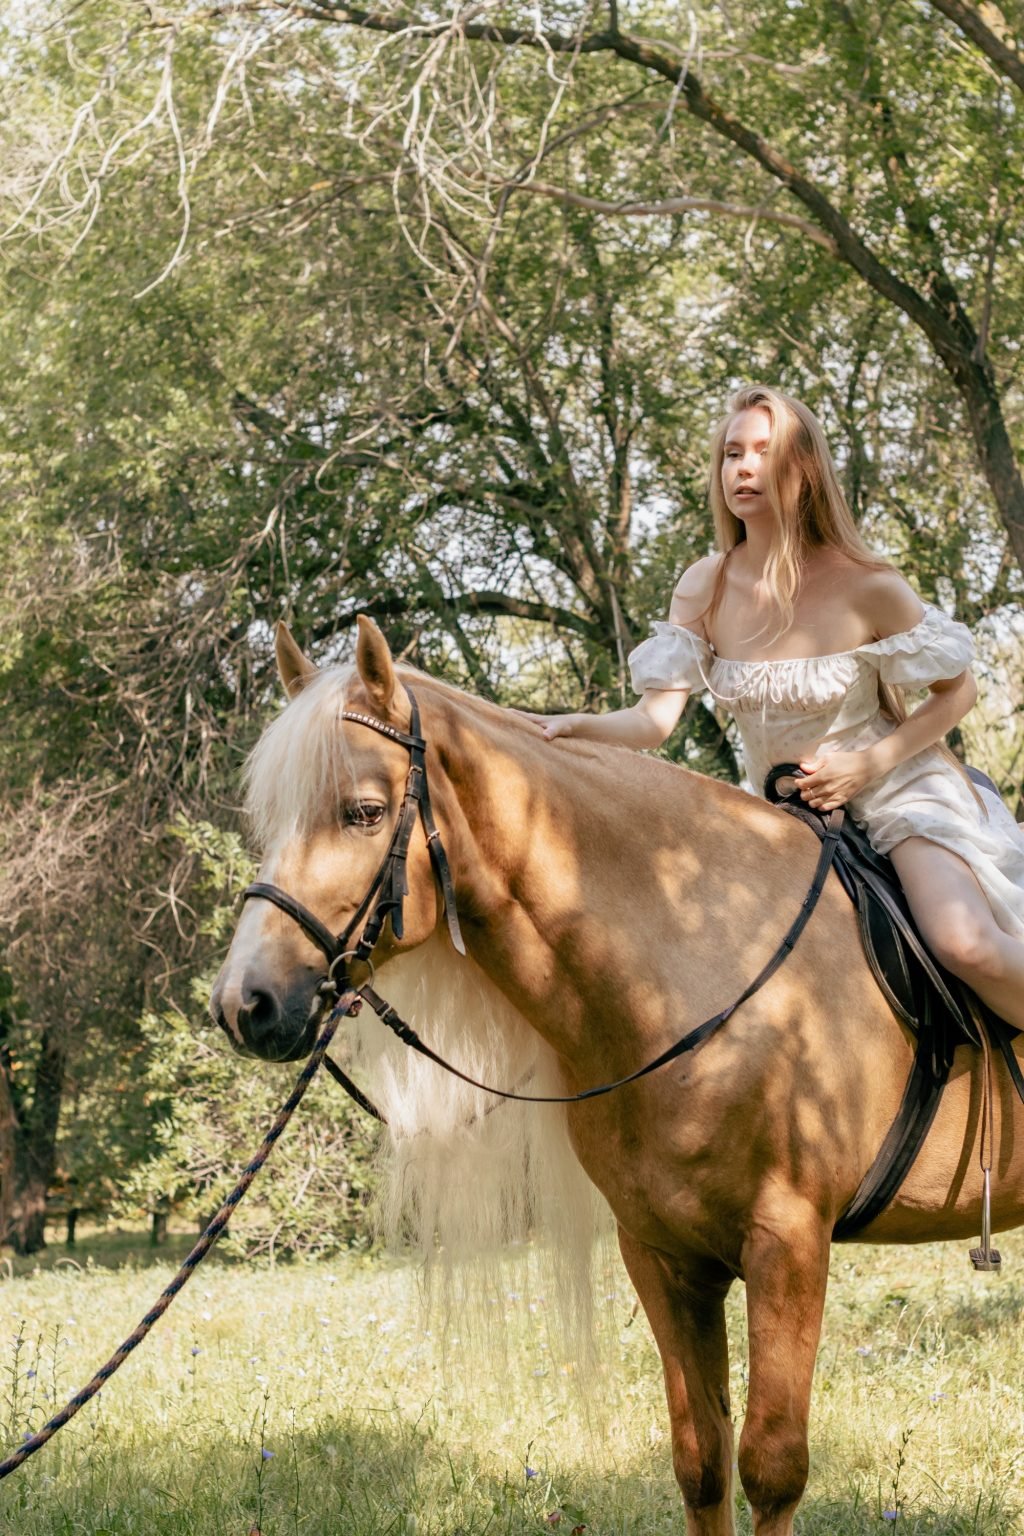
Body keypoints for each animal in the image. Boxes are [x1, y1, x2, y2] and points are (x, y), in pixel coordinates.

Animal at [210, 615, 1024, 1536]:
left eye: (365, 812)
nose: (245, 1003)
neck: (702, 950)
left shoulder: (788, 1244)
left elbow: (772, 1466)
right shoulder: (663, 1254)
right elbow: (701, 1462)